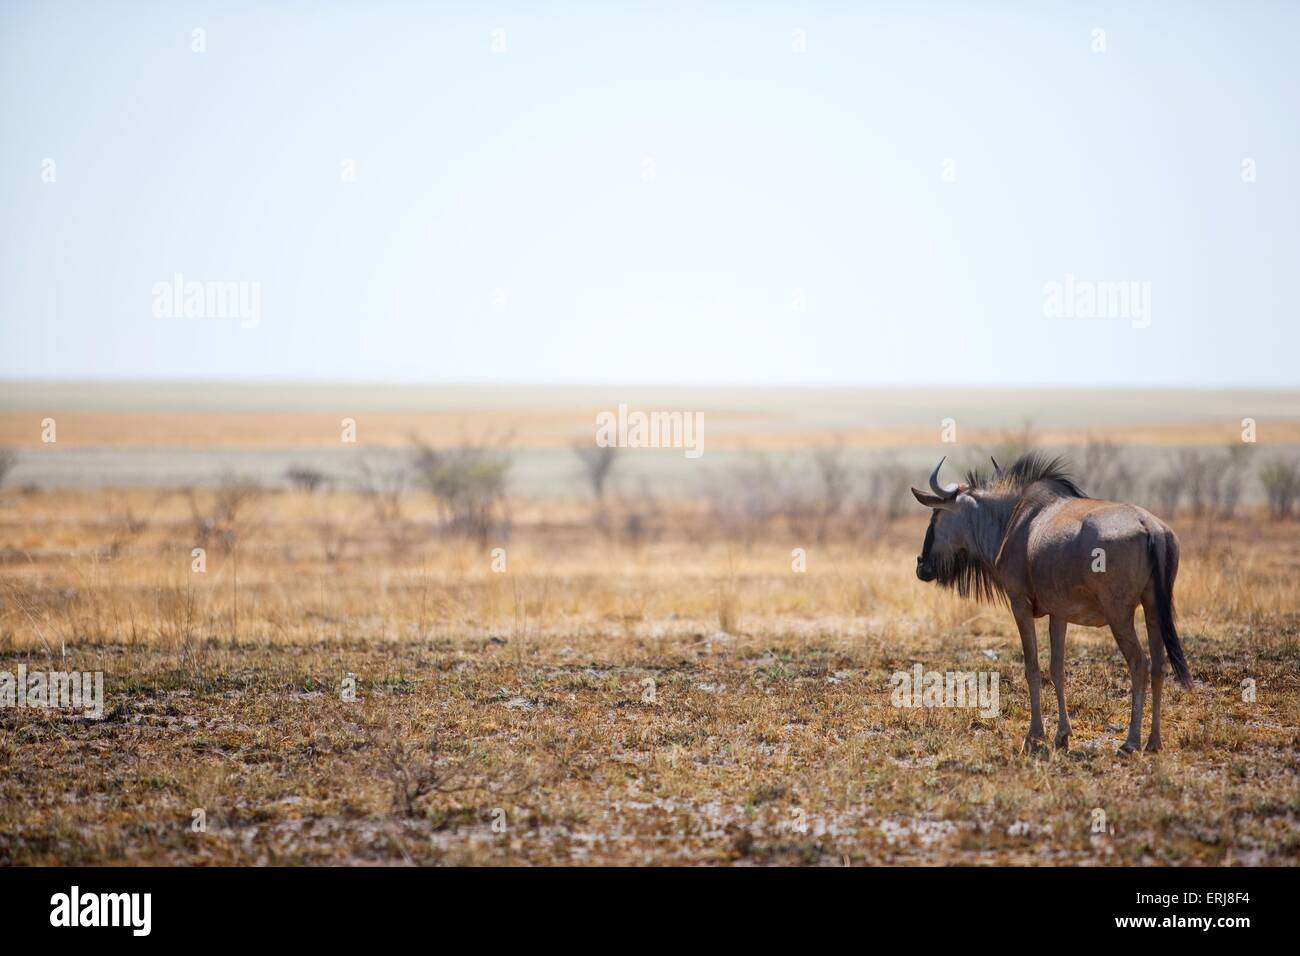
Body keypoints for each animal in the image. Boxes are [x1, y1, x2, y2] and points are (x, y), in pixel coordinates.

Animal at [912, 453, 1192, 754]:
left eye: (936, 515)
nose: (922, 566)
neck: (1010, 520)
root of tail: (1151, 526)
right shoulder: (1059, 613)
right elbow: (1057, 669)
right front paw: (1062, 734)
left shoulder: (1019, 603)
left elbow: (1032, 666)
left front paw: (1035, 734)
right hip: (1153, 608)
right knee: (1159, 665)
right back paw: (1153, 741)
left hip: (1120, 615)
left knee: (1139, 664)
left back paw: (1131, 741)